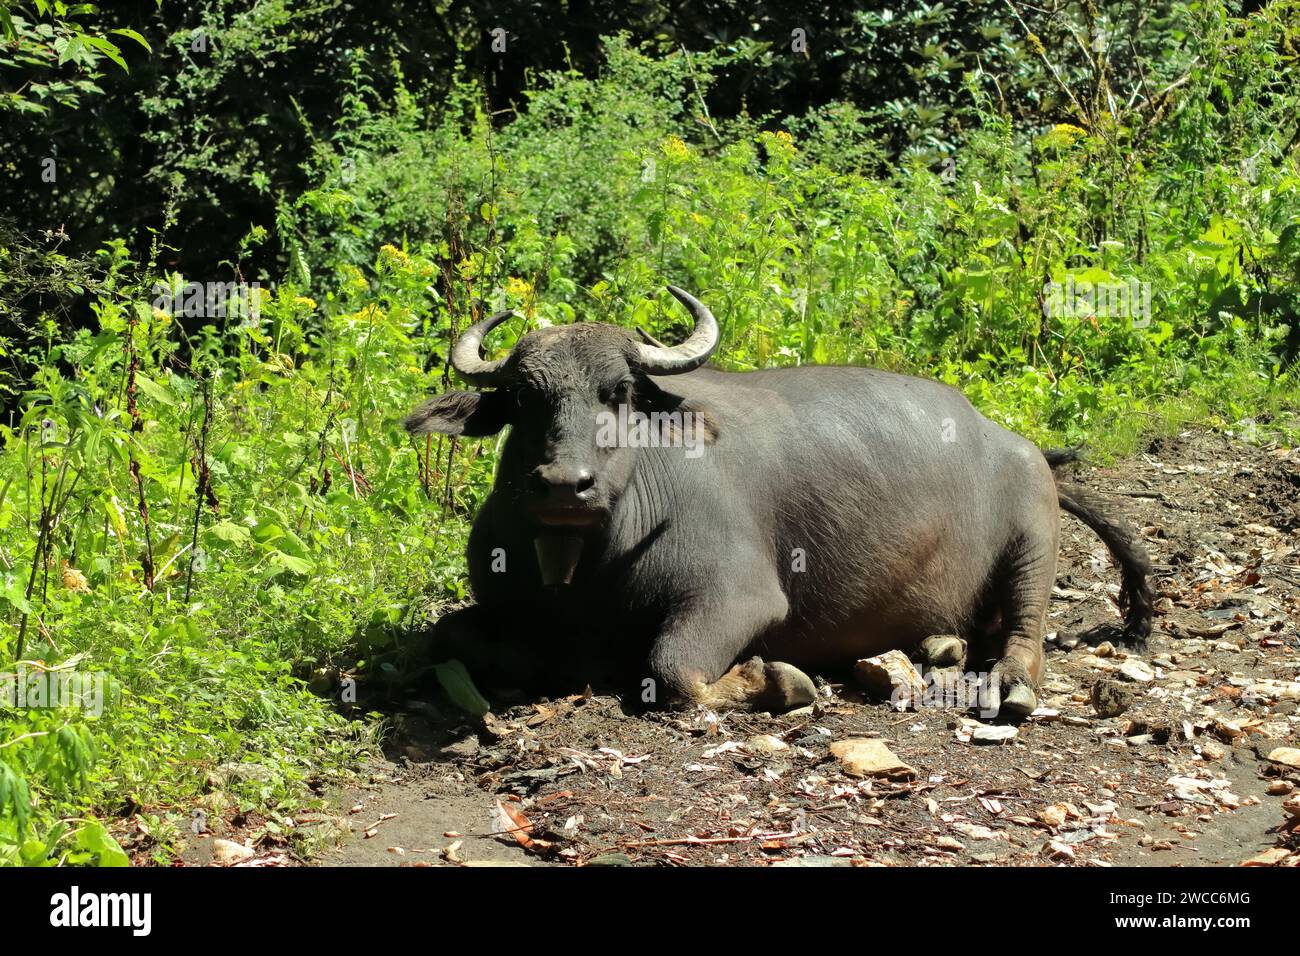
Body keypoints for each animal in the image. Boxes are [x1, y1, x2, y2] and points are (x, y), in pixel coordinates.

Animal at [407, 286, 1152, 718]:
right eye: (522, 399)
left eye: (619, 392)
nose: (566, 484)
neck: (586, 567)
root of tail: (1017, 442)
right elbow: (449, 637)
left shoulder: (738, 596)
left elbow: (672, 668)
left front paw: (778, 681)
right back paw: (941, 645)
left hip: (1033, 534)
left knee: (1026, 628)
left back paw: (1010, 683)